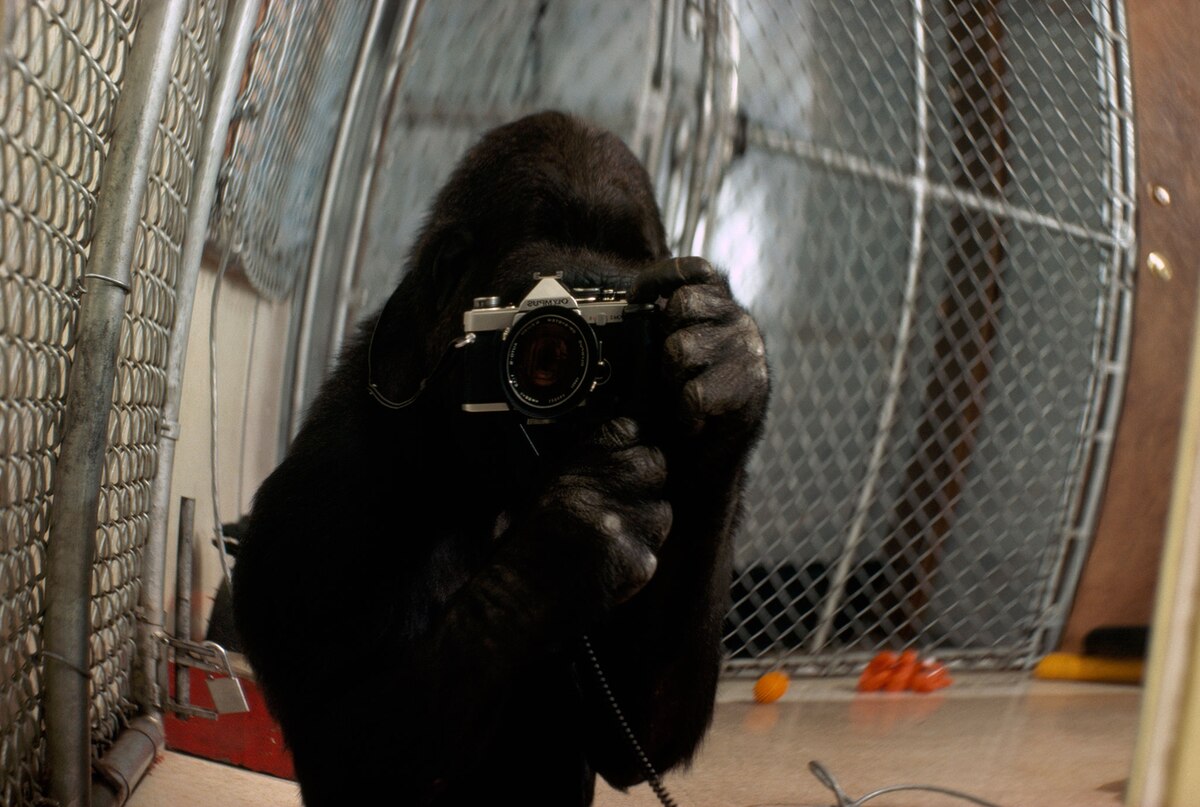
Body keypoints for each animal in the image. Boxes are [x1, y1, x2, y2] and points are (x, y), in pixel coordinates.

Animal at [231, 110, 770, 806]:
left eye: (619, 302)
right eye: (540, 350)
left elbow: (633, 741)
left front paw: (728, 370)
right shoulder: (313, 507)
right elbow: (341, 745)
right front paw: (571, 541)